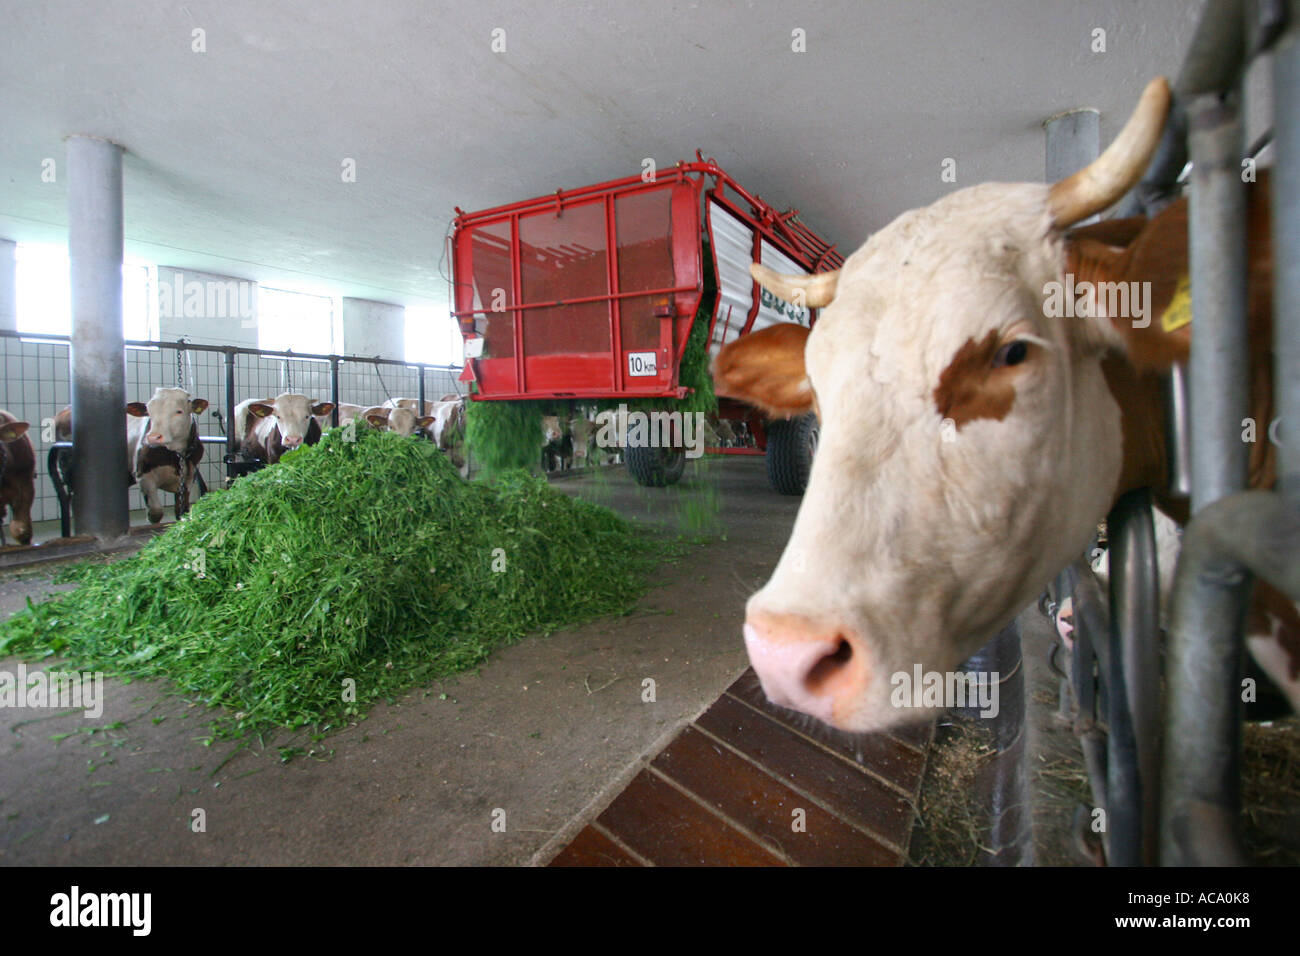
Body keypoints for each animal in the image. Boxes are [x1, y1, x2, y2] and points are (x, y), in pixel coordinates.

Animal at [55, 389, 209, 525]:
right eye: (148, 412)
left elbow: (182, 511)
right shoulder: (143, 475)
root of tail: (65, 411)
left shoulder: (188, 478)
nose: (153, 437)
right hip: (69, 472)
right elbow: (155, 512)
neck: (174, 455)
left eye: (179, 411)